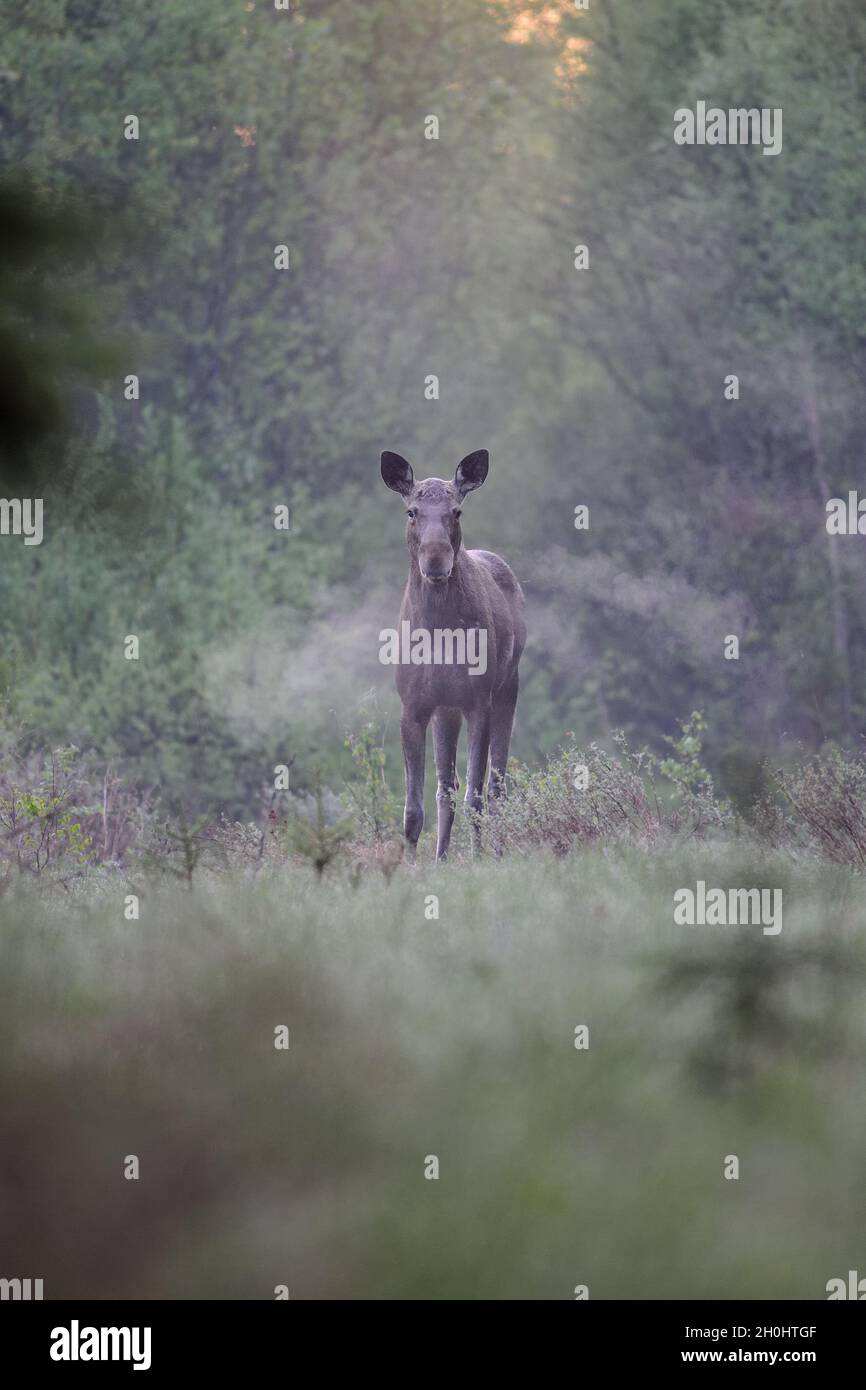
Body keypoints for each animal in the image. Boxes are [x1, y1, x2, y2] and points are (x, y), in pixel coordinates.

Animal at [380, 449, 526, 861]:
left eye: (457, 511)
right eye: (411, 511)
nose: (435, 560)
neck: (439, 631)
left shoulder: (479, 701)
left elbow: (477, 794)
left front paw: (479, 861)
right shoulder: (413, 706)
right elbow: (413, 809)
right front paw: (411, 866)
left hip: (507, 688)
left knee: (496, 786)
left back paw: (497, 853)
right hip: (446, 710)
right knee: (447, 786)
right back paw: (441, 858)